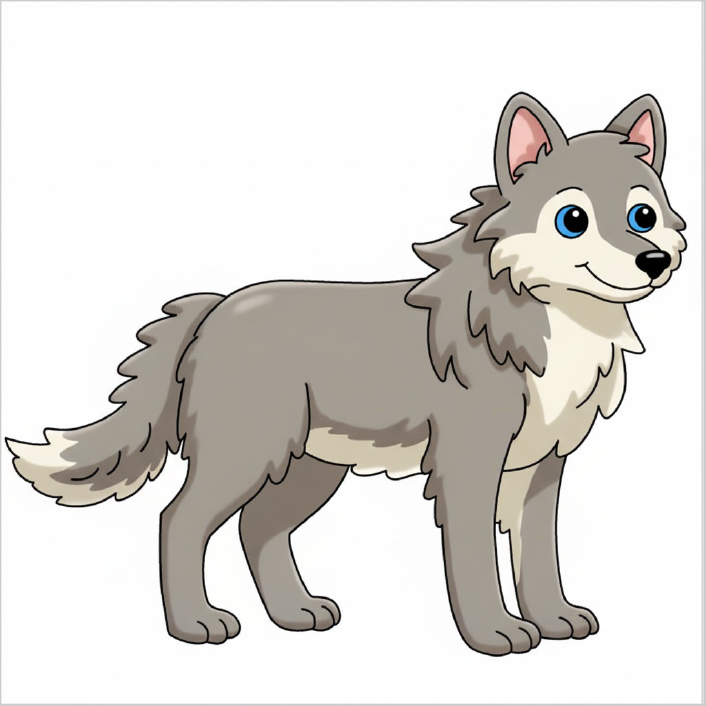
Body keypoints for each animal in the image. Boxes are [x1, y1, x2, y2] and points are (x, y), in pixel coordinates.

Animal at [7, 93, 686, 656]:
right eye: (573, 220)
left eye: (644, 215)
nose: (655, 260)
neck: (553, 327)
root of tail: (217, 306)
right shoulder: (470, 464)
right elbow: (474, 558)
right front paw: (495, 634)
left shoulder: (543, 467)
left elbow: (538, 554)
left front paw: (554, 620)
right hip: (247, 454)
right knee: (179, 520)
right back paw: (196, 624)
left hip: (308, 467)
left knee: (258, 530)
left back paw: (296, 614)